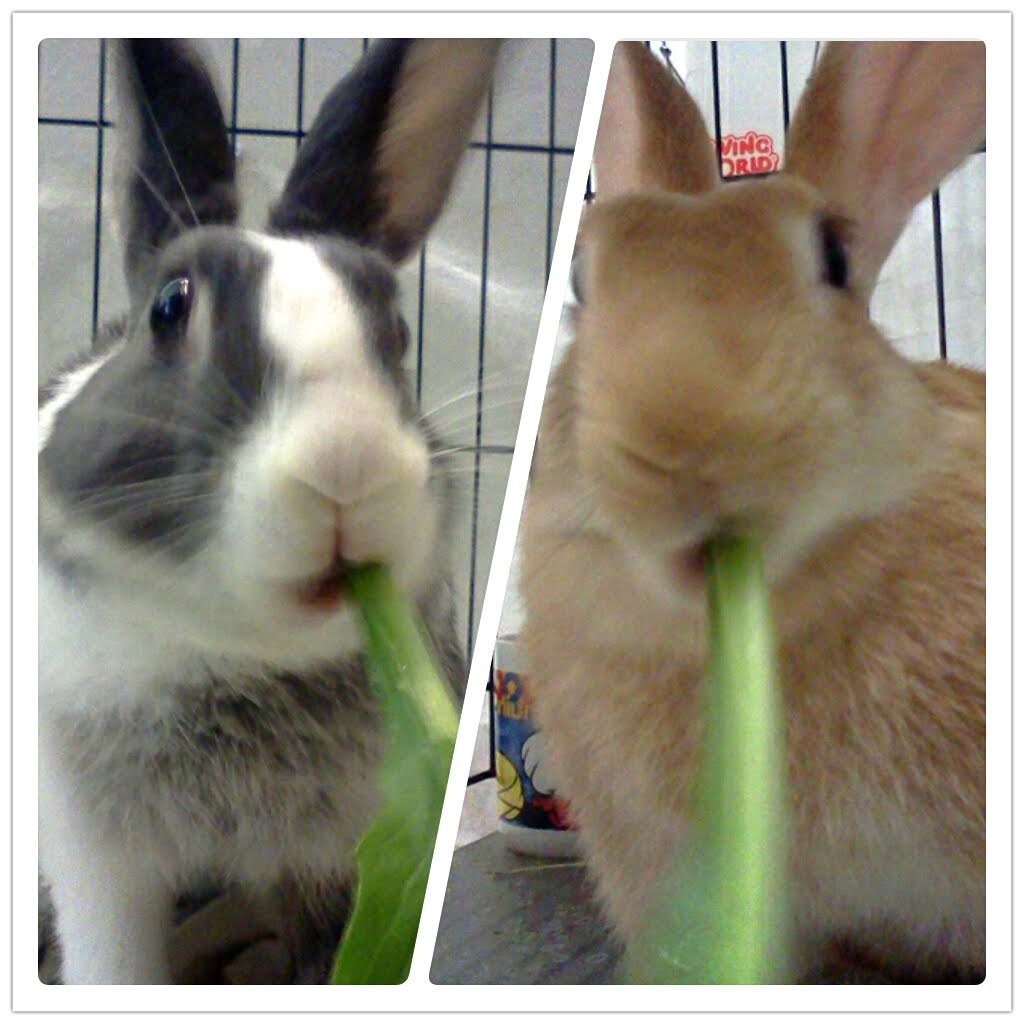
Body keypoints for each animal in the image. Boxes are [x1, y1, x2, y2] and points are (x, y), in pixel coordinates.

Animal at [38, 37, 500, 985]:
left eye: (397, 334)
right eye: (169, 308)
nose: (346, 465)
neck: (237, 664)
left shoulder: (338, 863)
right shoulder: (97, 868)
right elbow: (113, 965)